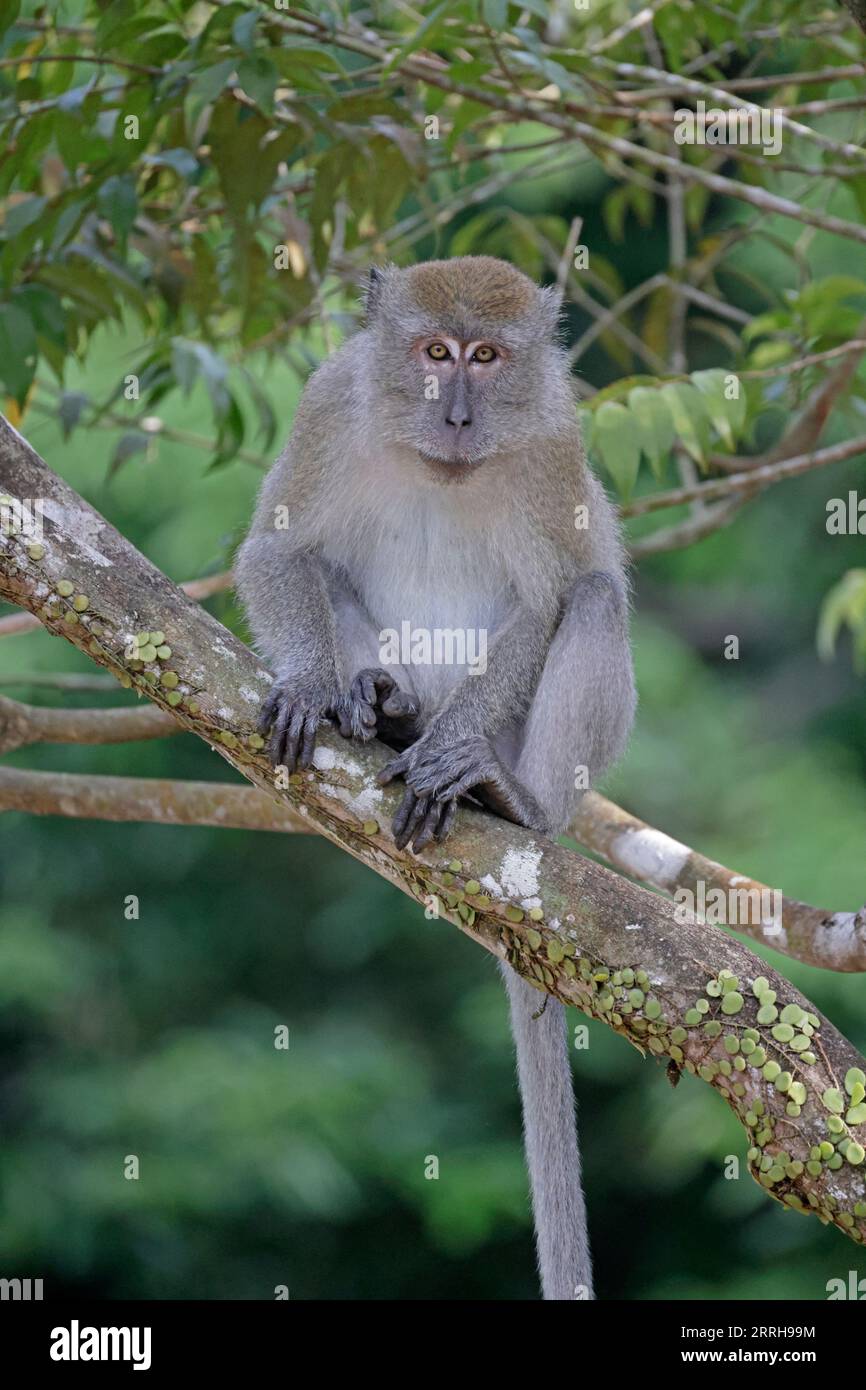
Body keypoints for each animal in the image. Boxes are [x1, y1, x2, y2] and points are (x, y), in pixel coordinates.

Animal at [235, 255, 636, 1301]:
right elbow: (281, 550)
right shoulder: (331, 404)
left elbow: (551, 596)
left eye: (487, 358)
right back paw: (382, 708)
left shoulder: (553, 444)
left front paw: (456, 753)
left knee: (594, 595)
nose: (455, 413)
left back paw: (509, 799)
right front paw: (312, 683)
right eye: (434, 351)